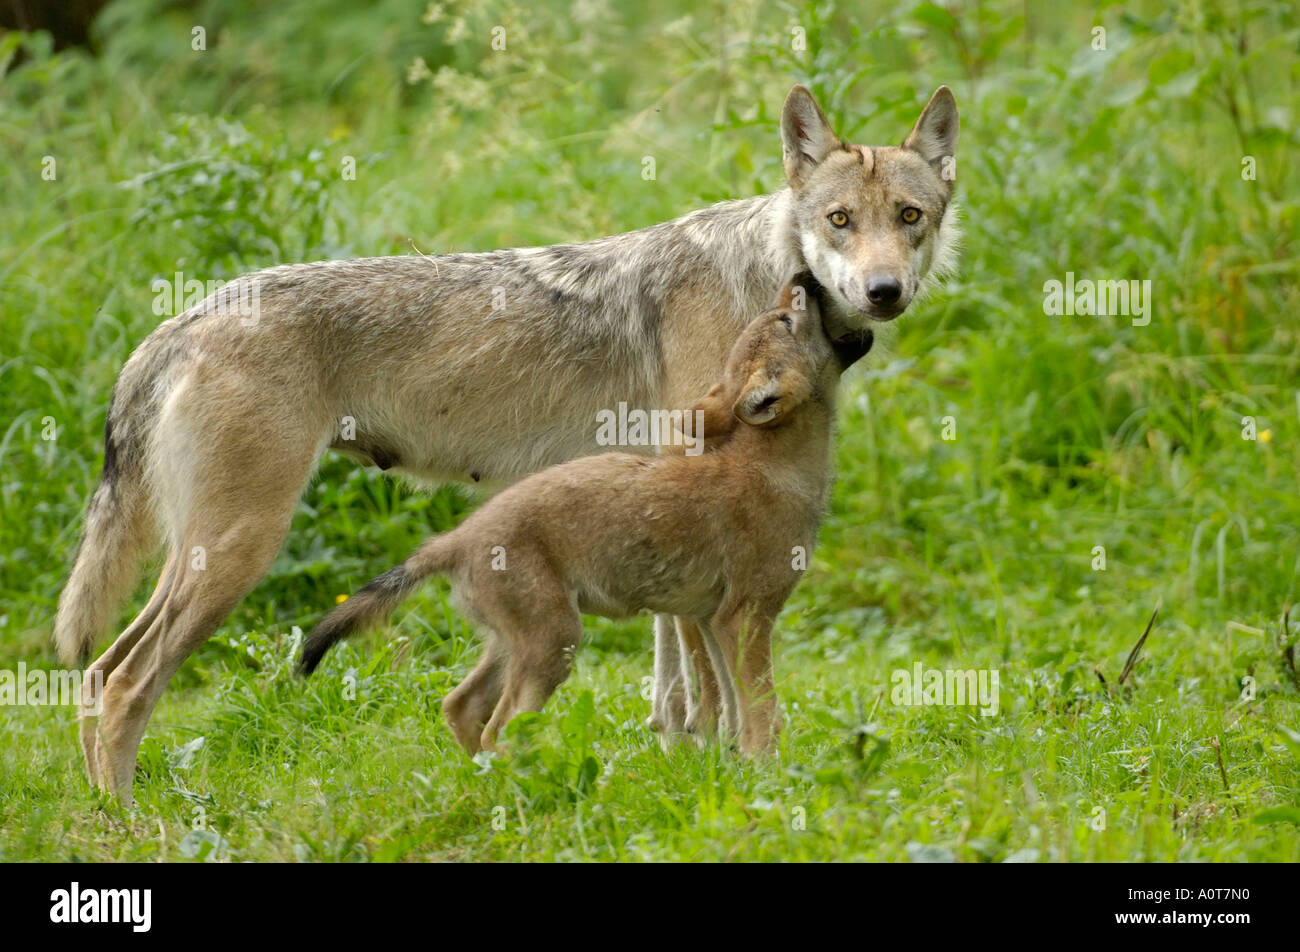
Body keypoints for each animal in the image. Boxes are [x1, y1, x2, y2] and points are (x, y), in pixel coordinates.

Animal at [54, 83, 958, 799]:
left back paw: (104, 809)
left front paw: (680, 761)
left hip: (202, 557)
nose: (883, 292)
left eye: (908, 218)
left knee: (96, 674)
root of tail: (178, 321)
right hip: (238, 552)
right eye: (839, 221)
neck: (763, 271)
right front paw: (715, 764)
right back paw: (135, 821)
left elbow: (670, 677)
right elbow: (703, 679)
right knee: (127, 682)